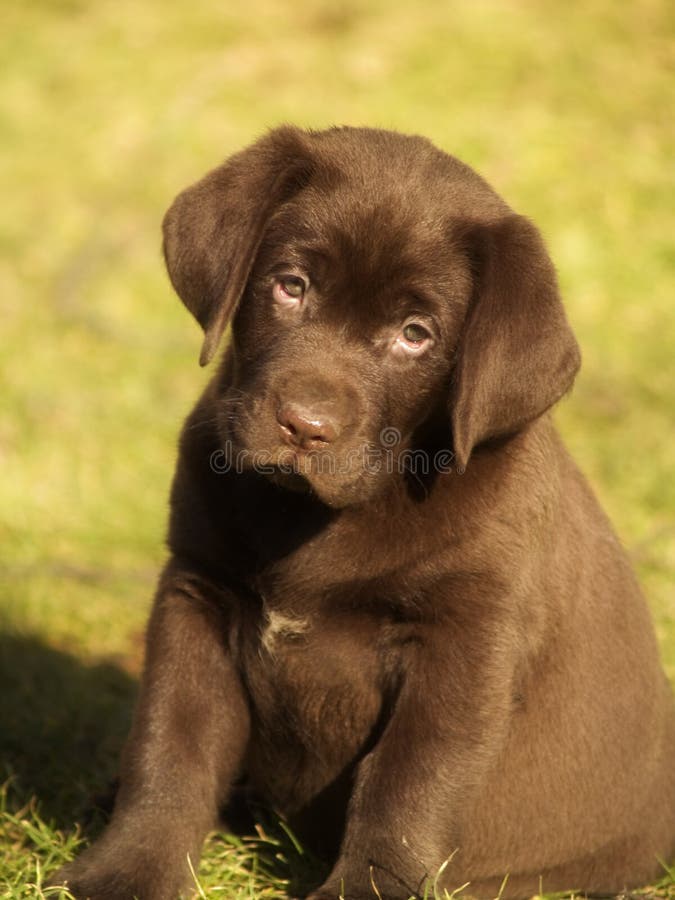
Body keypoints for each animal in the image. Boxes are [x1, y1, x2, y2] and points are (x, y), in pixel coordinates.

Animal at [53, 126, 675, 899]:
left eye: (415, 333)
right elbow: (168, 746)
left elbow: (408, 785)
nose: (305, 426)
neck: (314, 517)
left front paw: (366, 889)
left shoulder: (464, 644)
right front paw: (125, 870)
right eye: (291, 285)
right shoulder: (196, 594)